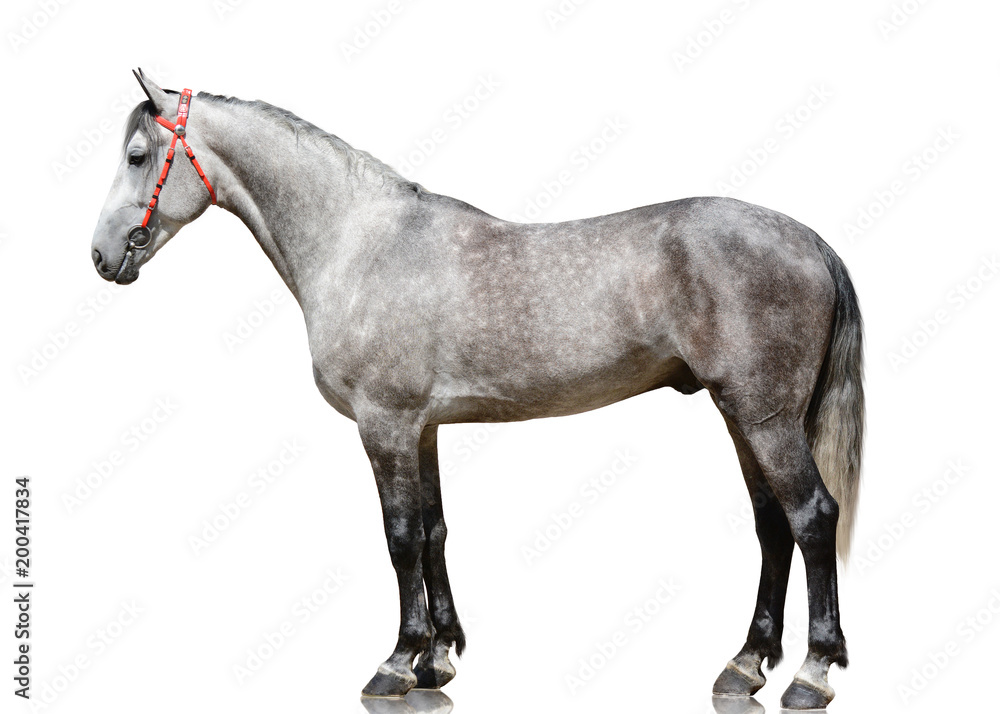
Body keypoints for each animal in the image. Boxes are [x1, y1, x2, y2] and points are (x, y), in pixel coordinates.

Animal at [91, 70, 864, 709]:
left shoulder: (385, 424)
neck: (359, 243)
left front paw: (398, 663)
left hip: (764, 418)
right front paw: (439, 659)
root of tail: (809, 240)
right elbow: (434, 530)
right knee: (772, 526)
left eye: (136, 155)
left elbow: (401, 535)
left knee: (811, 516)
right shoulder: (423, 428)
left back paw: (811, 673)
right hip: (743, 416)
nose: (101, 256)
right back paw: (745, 665)